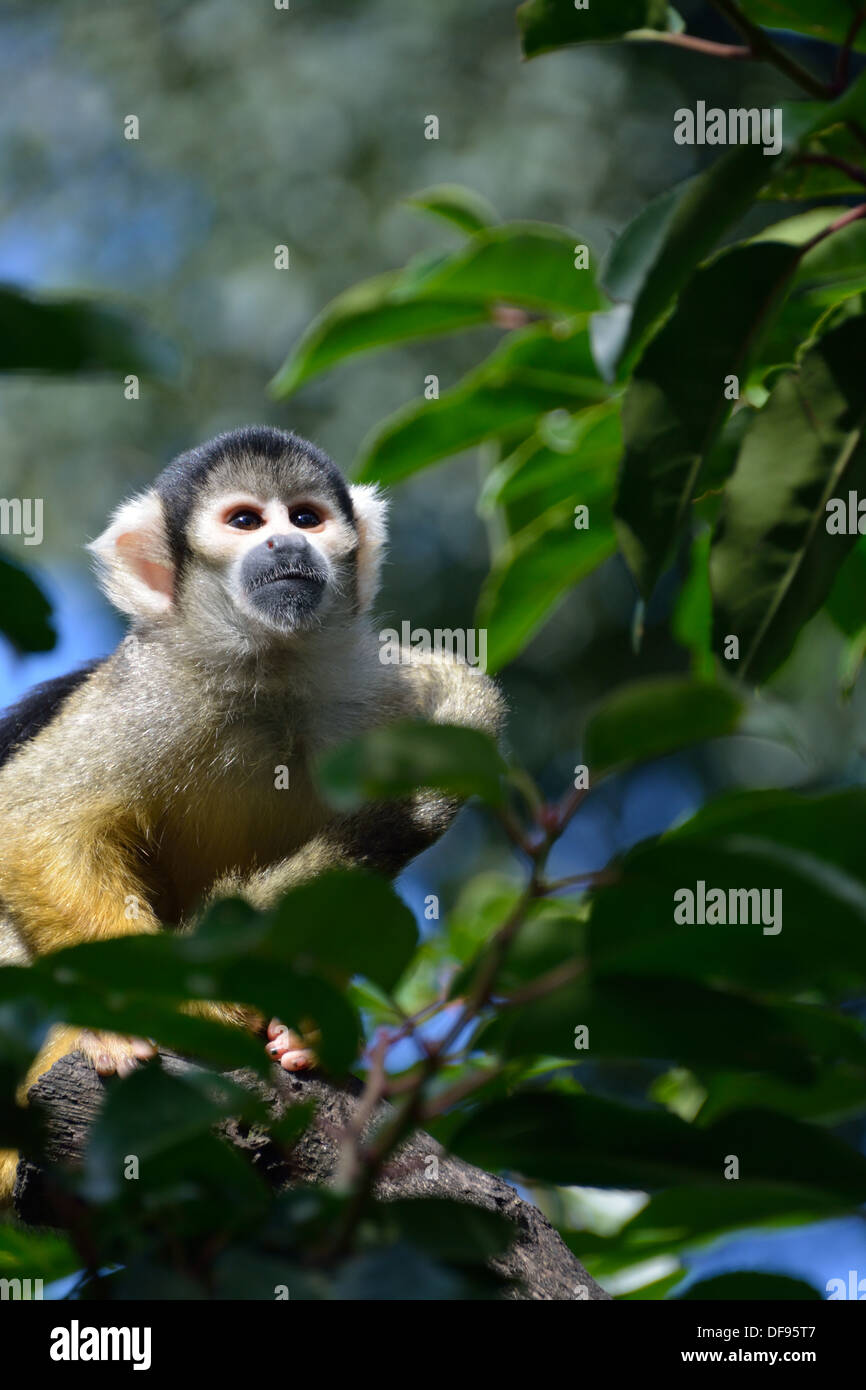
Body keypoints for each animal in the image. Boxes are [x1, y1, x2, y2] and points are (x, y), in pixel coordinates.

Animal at [0, 425, 505, 1201]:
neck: (269, 673)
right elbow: (34, 819)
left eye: (305, 518)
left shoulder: (375, 691)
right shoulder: (149, 688)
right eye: (244, 521)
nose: (285, 544)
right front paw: (132, 1009)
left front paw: (308, 1027)